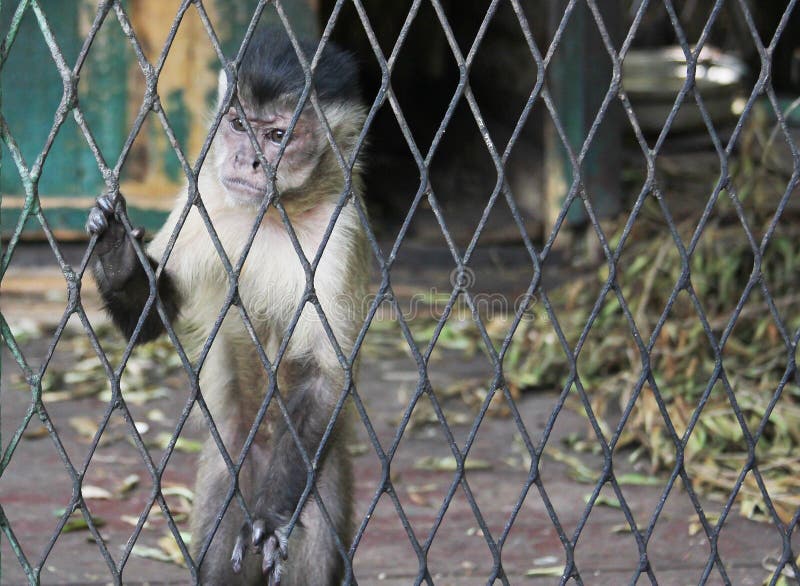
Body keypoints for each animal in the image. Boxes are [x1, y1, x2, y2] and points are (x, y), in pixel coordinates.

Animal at [86, 27, 368, 585]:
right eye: (239, 125)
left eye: (277, 136)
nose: (246, 160)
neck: (277, 213)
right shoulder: (208, 198)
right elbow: (155, 318)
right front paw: (118, 254)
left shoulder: (340, 227)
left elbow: (326, 373)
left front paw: (269, 520)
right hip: (227, 472)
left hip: (321, 478)